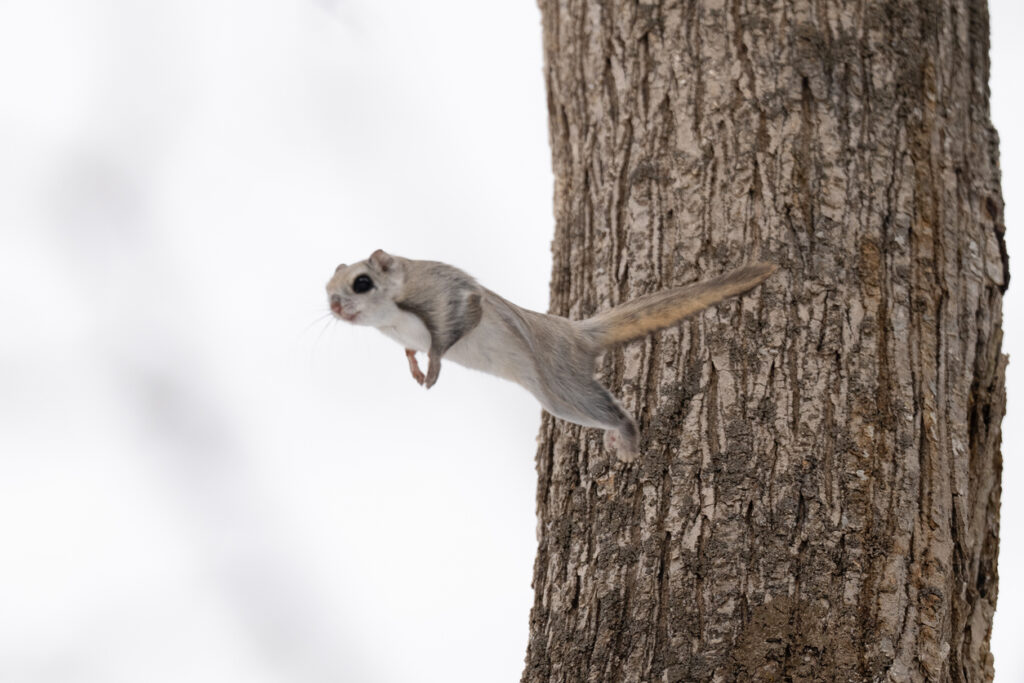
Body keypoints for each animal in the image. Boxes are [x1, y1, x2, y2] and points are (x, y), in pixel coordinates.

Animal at [326, 249, 776, 461]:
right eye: (327, 288)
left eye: (362, 282)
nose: (335, 308)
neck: (390, 319)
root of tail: (573, 334)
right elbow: (410, 349)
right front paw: (415, 365)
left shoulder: (445, 290)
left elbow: (460, 318)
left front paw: (433, 364)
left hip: (560, 388)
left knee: (605, 408)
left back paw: (626, 434)